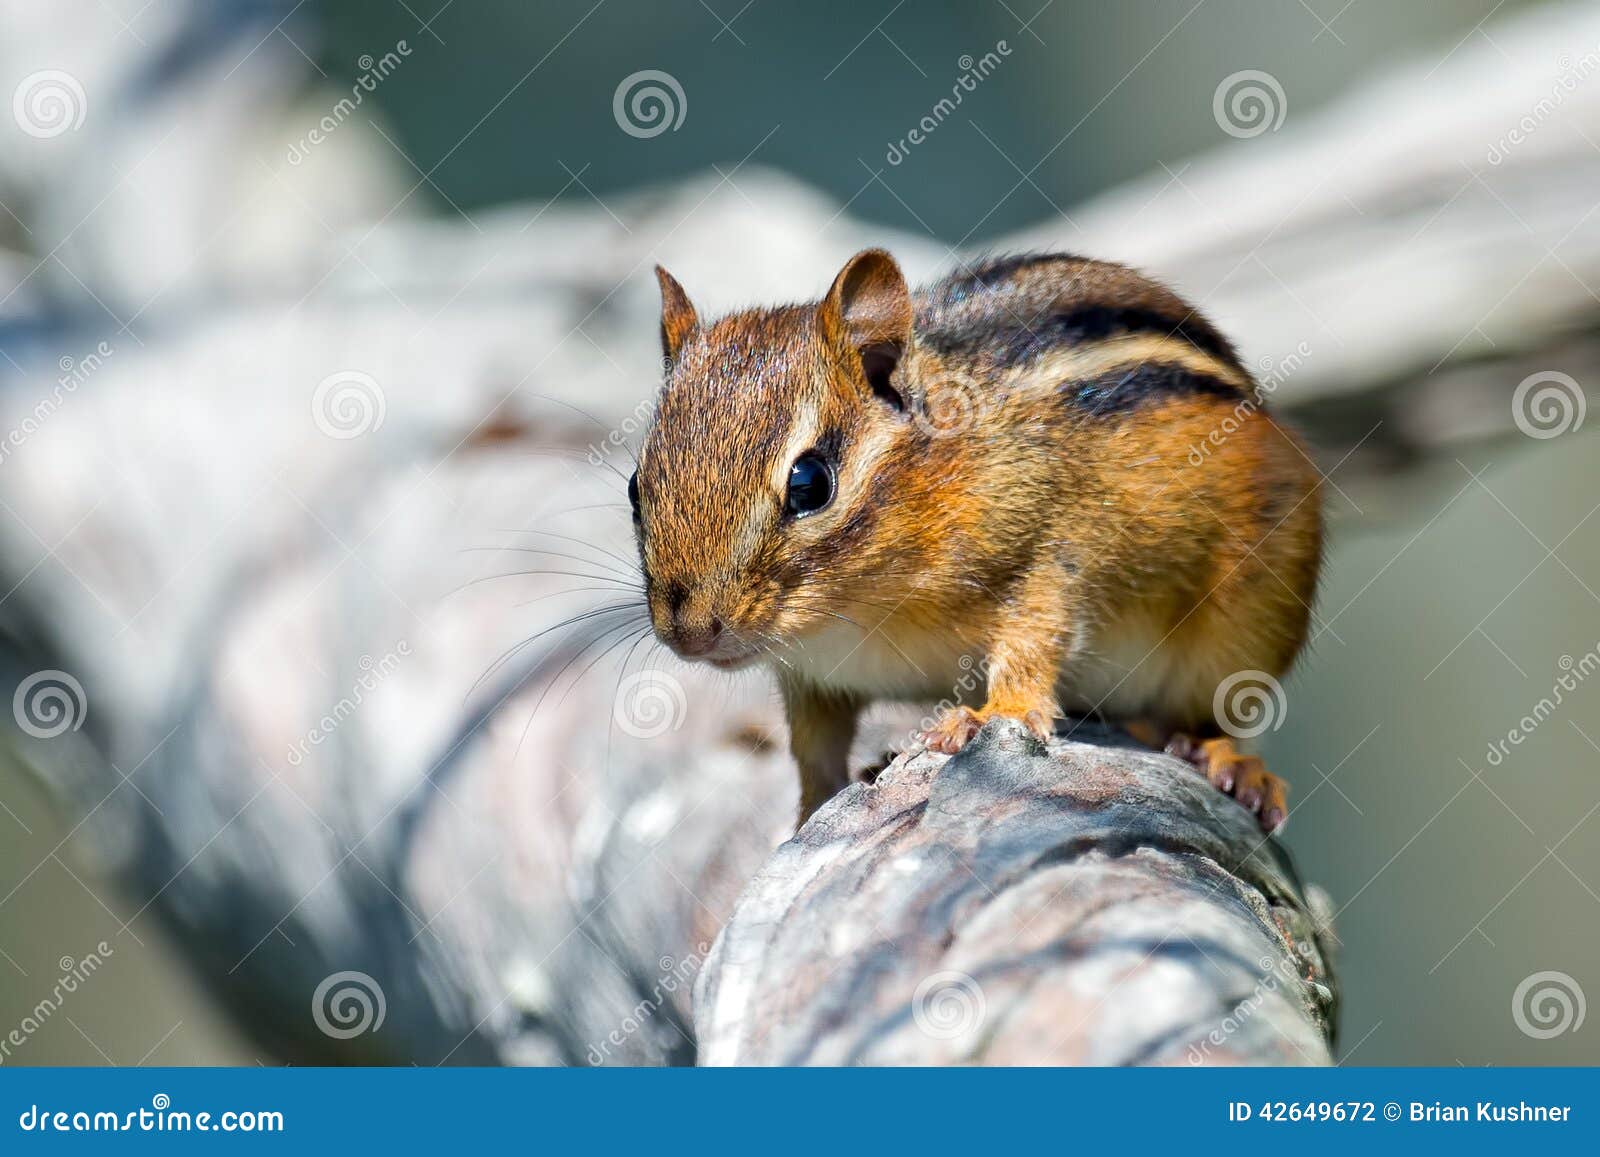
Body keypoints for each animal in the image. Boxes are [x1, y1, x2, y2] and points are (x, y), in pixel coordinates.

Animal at [629, 249, 1322, 833]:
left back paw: (1231, 762)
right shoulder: (812, 677)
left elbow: (1034, 640)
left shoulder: (1050, 546)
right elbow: (814, 748)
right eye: (636, 487)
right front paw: (808, 812)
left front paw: (990, 715)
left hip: (1246, 625)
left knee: (1214, 710)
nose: (691, 633)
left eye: (809, 484)